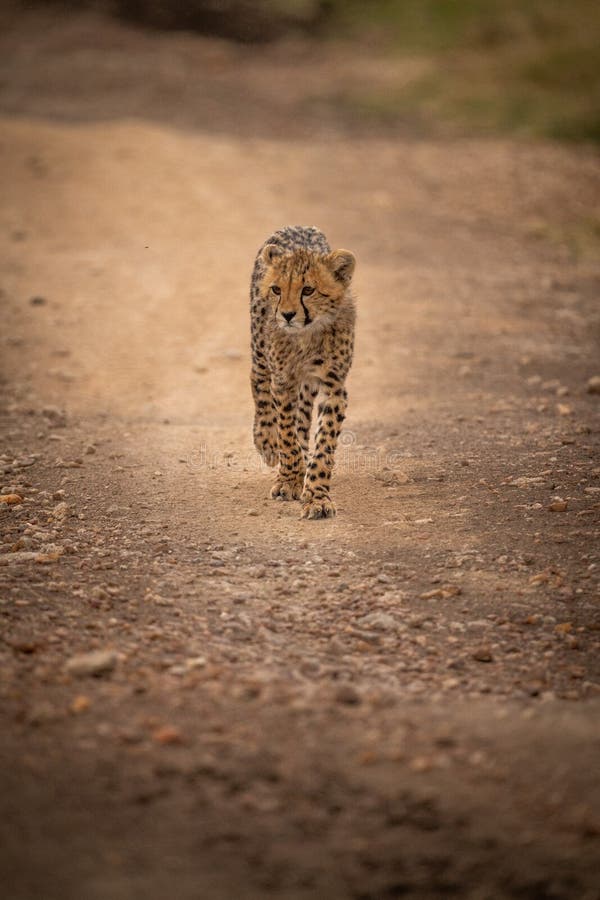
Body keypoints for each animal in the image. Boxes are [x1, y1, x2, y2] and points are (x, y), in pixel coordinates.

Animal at [250, 225, 356, 519]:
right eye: (276, 289)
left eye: (308, 289)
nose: (287, 315)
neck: (307, 334)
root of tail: (299, 227)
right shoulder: (284, 380)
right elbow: (286, 434)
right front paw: (289, 480)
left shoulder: (334, 387)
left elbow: (324, 441)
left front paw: (317, 495)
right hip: (260, 348)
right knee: (258, 383)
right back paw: (266, 440)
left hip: (307, 385)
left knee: (303, 418)